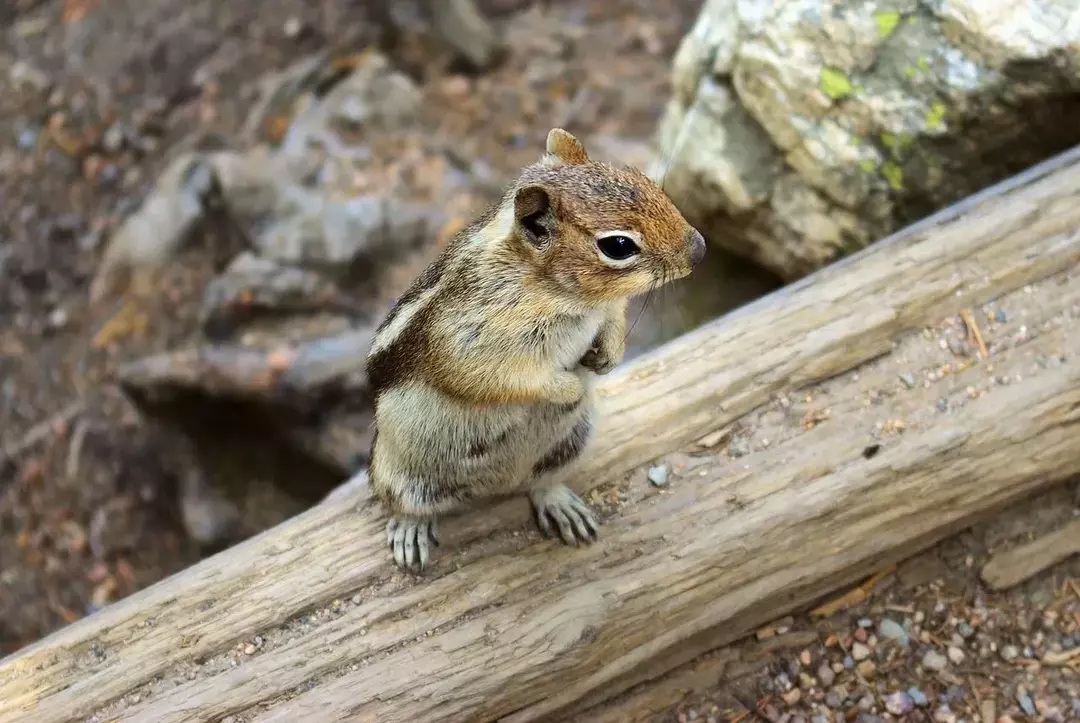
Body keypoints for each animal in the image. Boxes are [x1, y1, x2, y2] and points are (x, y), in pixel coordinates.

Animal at [367, 129, 704, 570]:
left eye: (646, 182)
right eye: (618, 246)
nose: (700, 249)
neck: (564, 296)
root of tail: (495, 485)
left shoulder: (607, 308)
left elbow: (614, 320)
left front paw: (606, 358)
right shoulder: (468, 340)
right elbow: (503, 378)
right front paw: (570, 387)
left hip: (570, 444)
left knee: (540, 483)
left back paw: (560, 504)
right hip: (400, 476)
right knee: (403, 504)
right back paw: (411, 529)